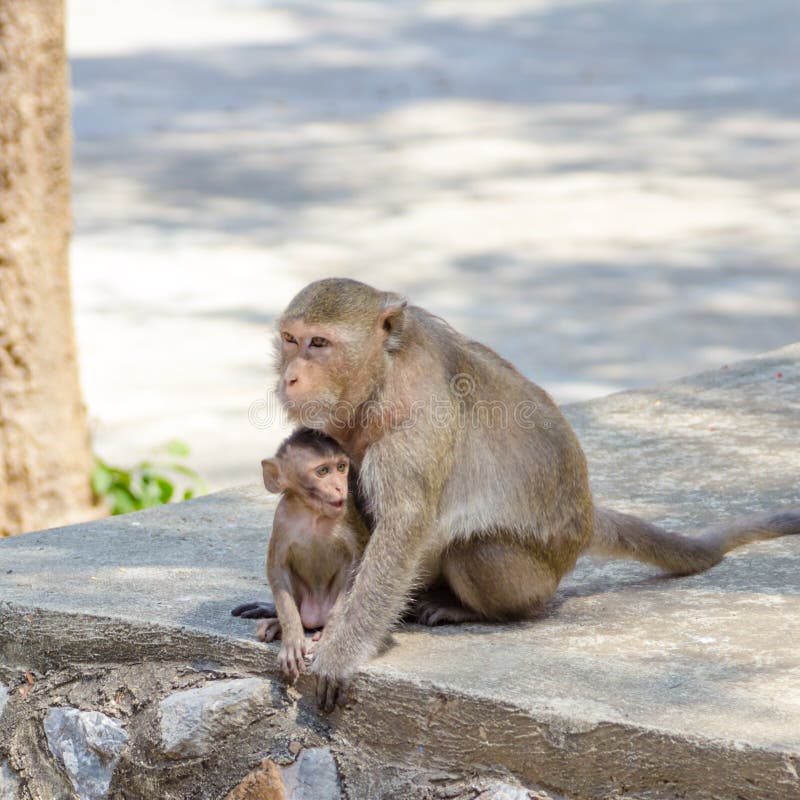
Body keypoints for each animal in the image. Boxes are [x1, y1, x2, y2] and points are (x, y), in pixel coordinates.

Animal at [231, 427, 369, 681]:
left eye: (341, 467)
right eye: (323, 471)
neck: (313, 513)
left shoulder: (347, 514)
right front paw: (291, 638)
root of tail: (314, 616)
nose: (340, 487)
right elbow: (277, 568)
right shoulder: (282, 518)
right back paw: (277, 624)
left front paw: (330, 637)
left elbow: (357, 563)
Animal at [270, 277, 800, 711]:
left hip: (535, 574)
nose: (289, 376)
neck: (381, 377)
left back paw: (476, 608)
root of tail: (586, 518)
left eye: (319, 343)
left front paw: (341, 651)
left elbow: (404, 526)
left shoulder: (415, 424)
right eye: (291, 340)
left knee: (477, 551)